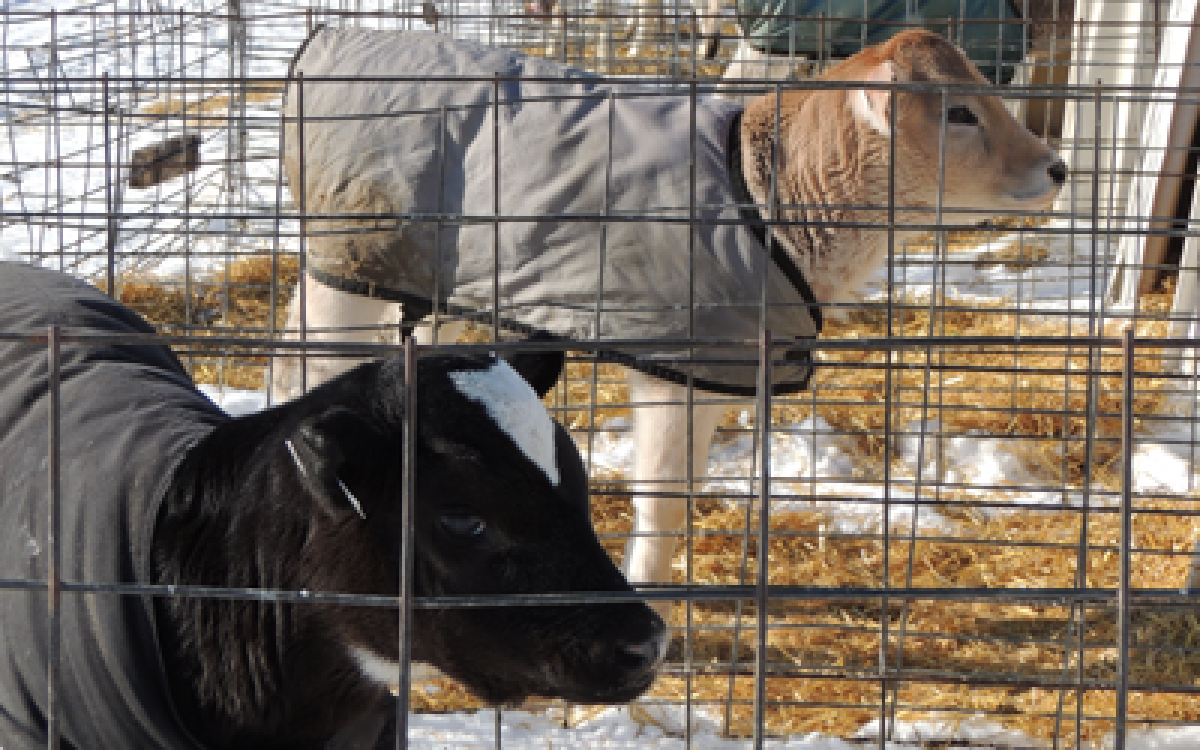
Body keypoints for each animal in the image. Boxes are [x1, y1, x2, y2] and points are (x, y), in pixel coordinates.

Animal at [269, 28, 1066, 621]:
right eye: (959, 114)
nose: (1057, 168)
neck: (771, 199)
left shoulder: (721, 363)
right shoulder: (675, 360)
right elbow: (663, 495)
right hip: (344, 255)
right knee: (300, 362)